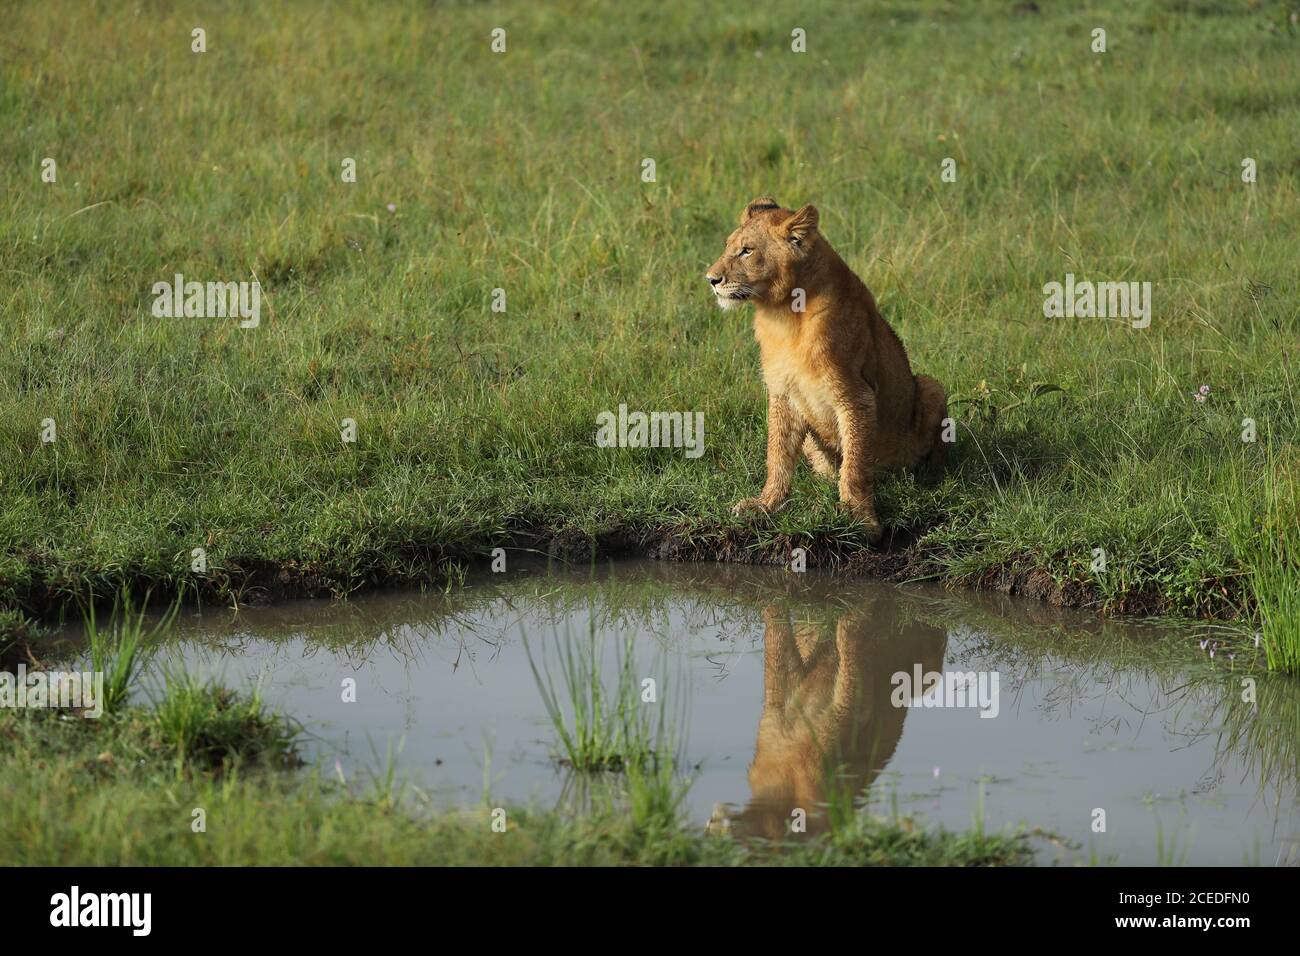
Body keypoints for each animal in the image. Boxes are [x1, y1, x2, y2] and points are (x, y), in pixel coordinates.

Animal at [706, 198, 948, 542]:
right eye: (728, 247)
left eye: (747, 251)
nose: (711, 280)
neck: (783, 316)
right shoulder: (782, 394)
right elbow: (777, 455)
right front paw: (765, 505)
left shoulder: (857, 396)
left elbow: (855, 465)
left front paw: (860, 519)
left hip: (930, 387)